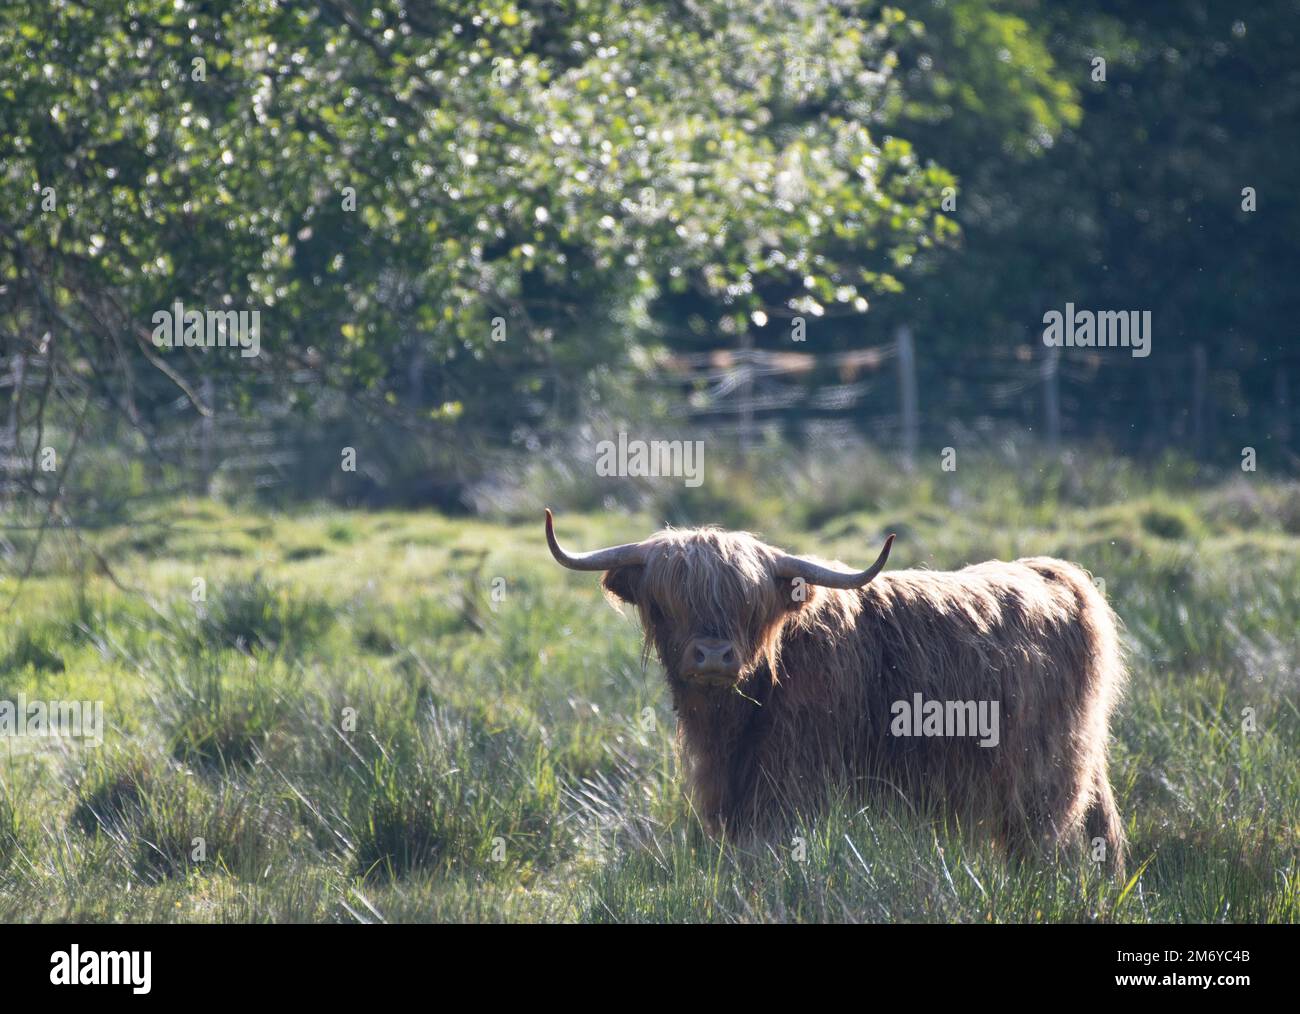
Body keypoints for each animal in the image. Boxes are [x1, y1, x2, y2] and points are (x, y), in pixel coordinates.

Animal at [545, 509, 1128, 873]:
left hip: (1045, 776)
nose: (712, 656)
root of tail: (1055, 573)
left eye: (749, 604)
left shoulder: (793, 786)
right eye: (666, 601)